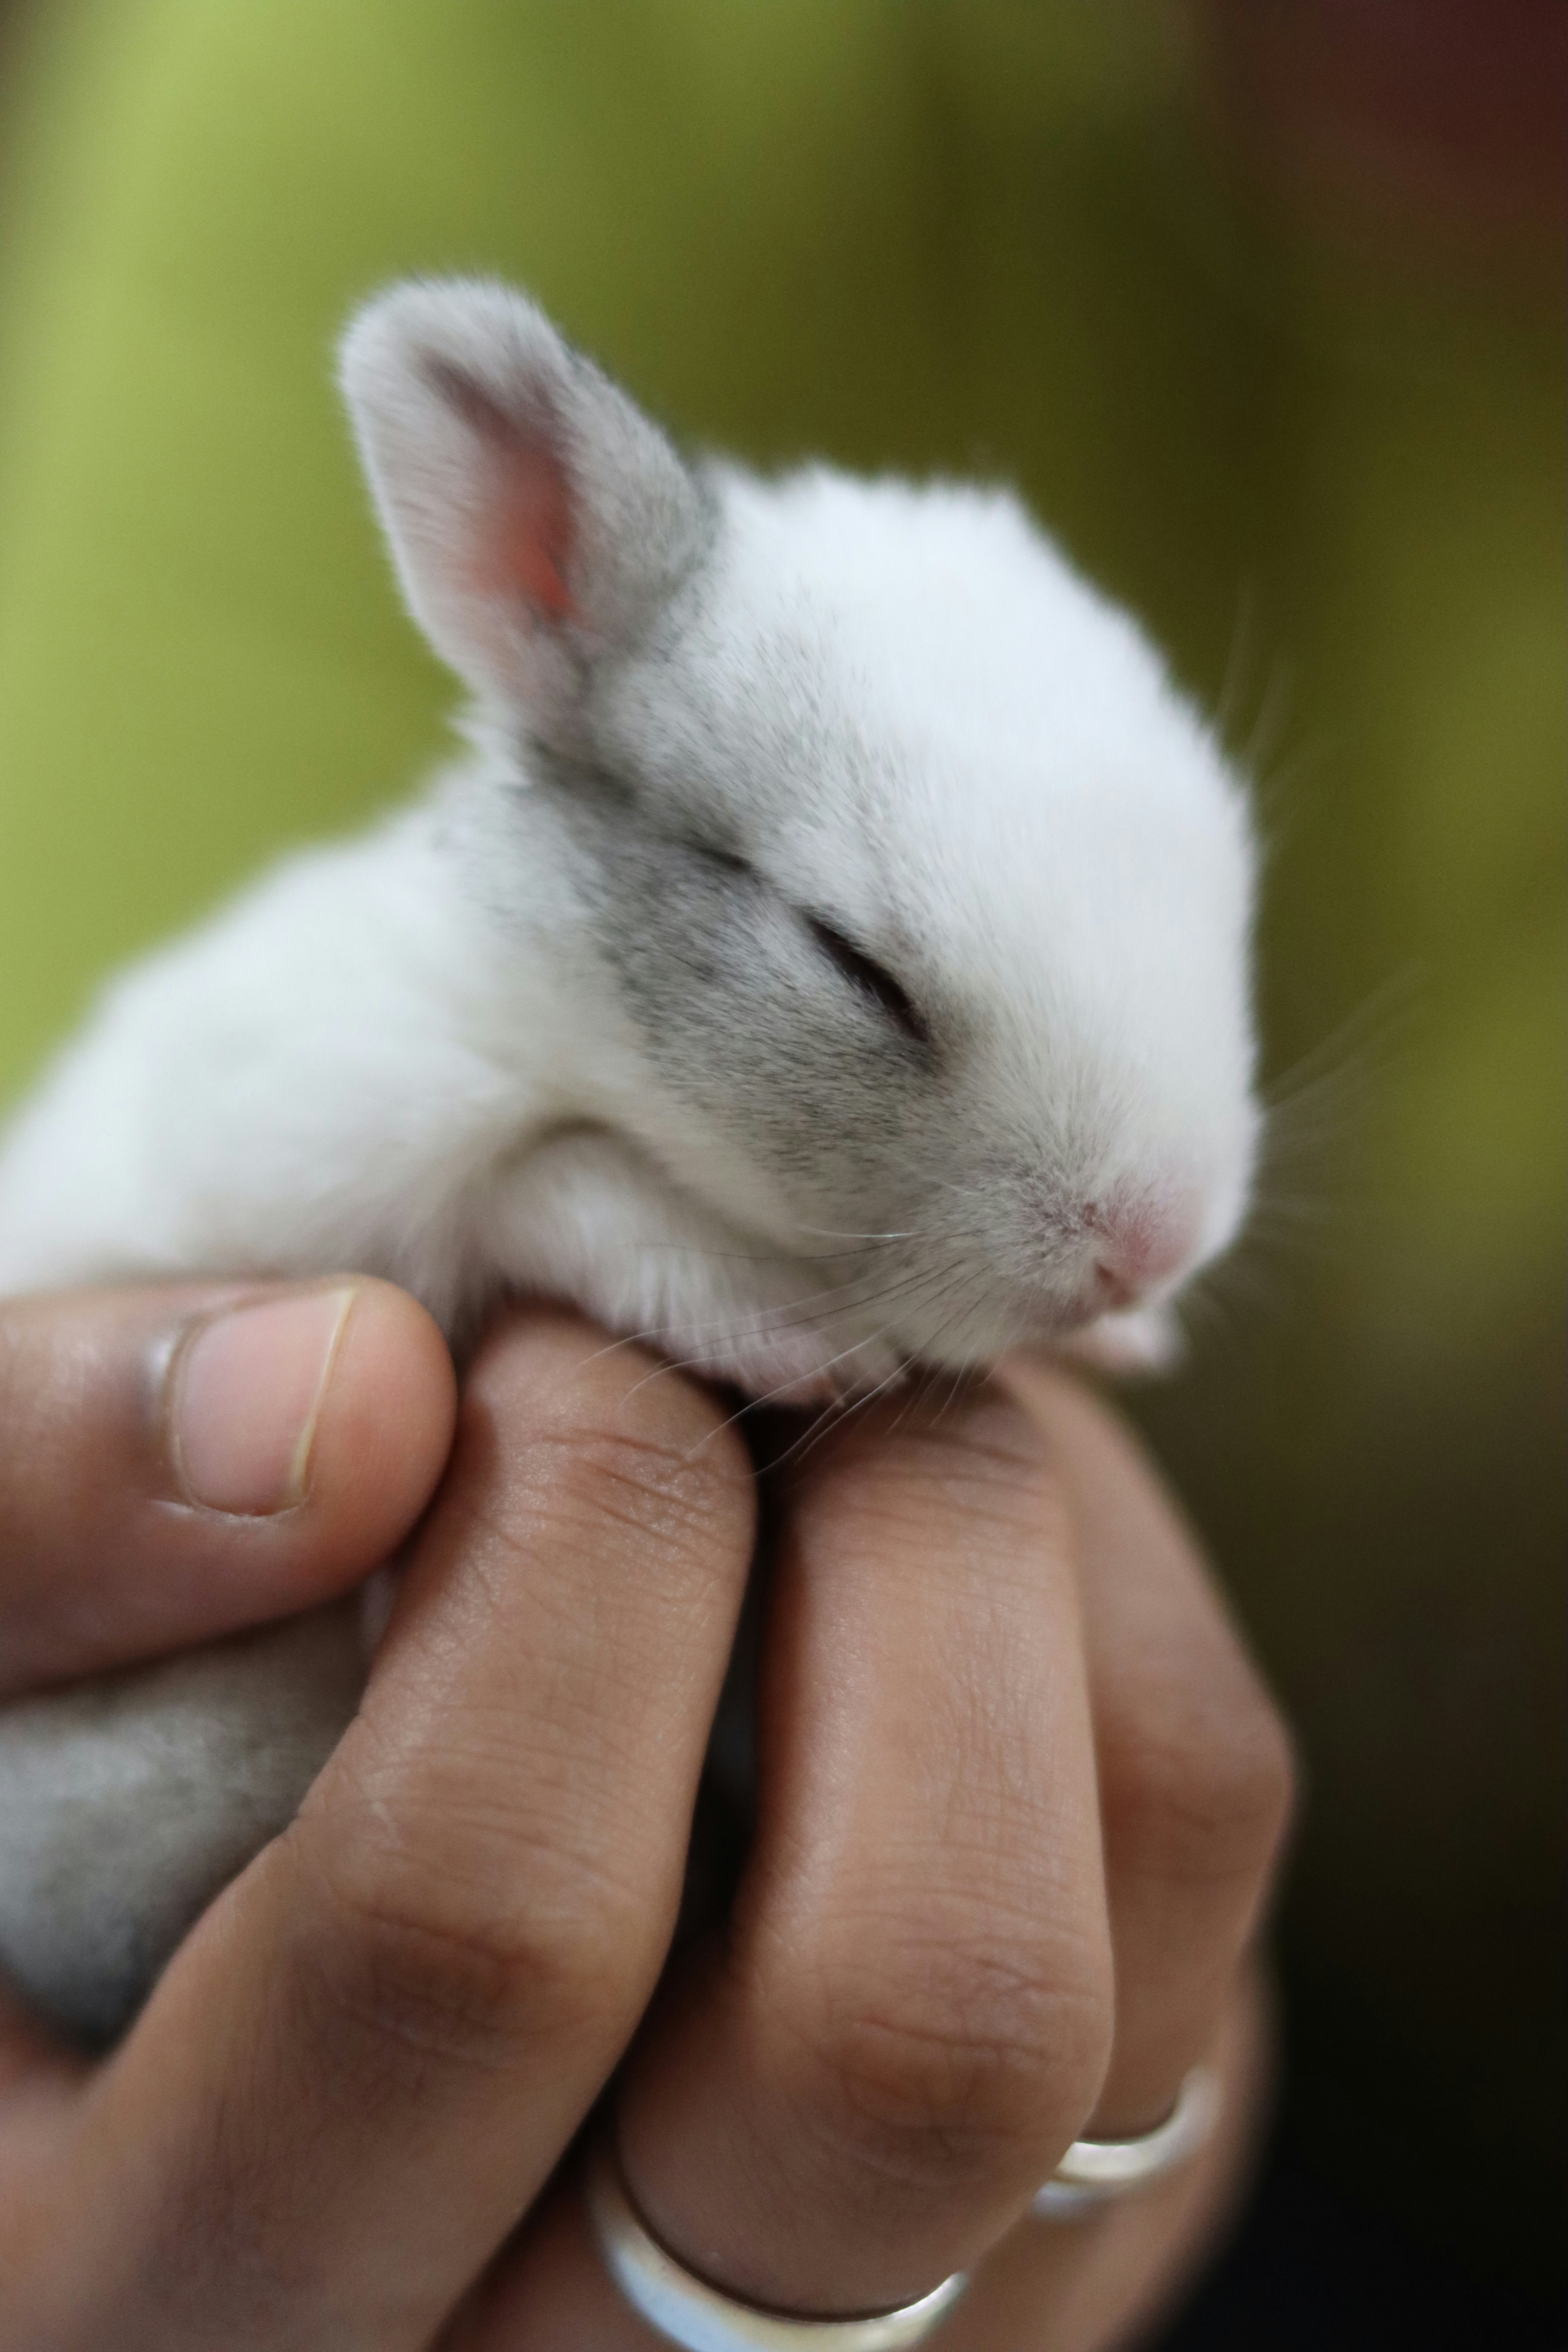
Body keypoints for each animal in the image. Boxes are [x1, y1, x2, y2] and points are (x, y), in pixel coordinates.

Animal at [0, 279, 1260, 2041]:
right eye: (851, 963)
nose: (1150, 1237)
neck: (570, 1016)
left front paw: (1131, 1339)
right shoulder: (331, 1143)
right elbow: (550, 1183)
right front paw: (793, 1331)